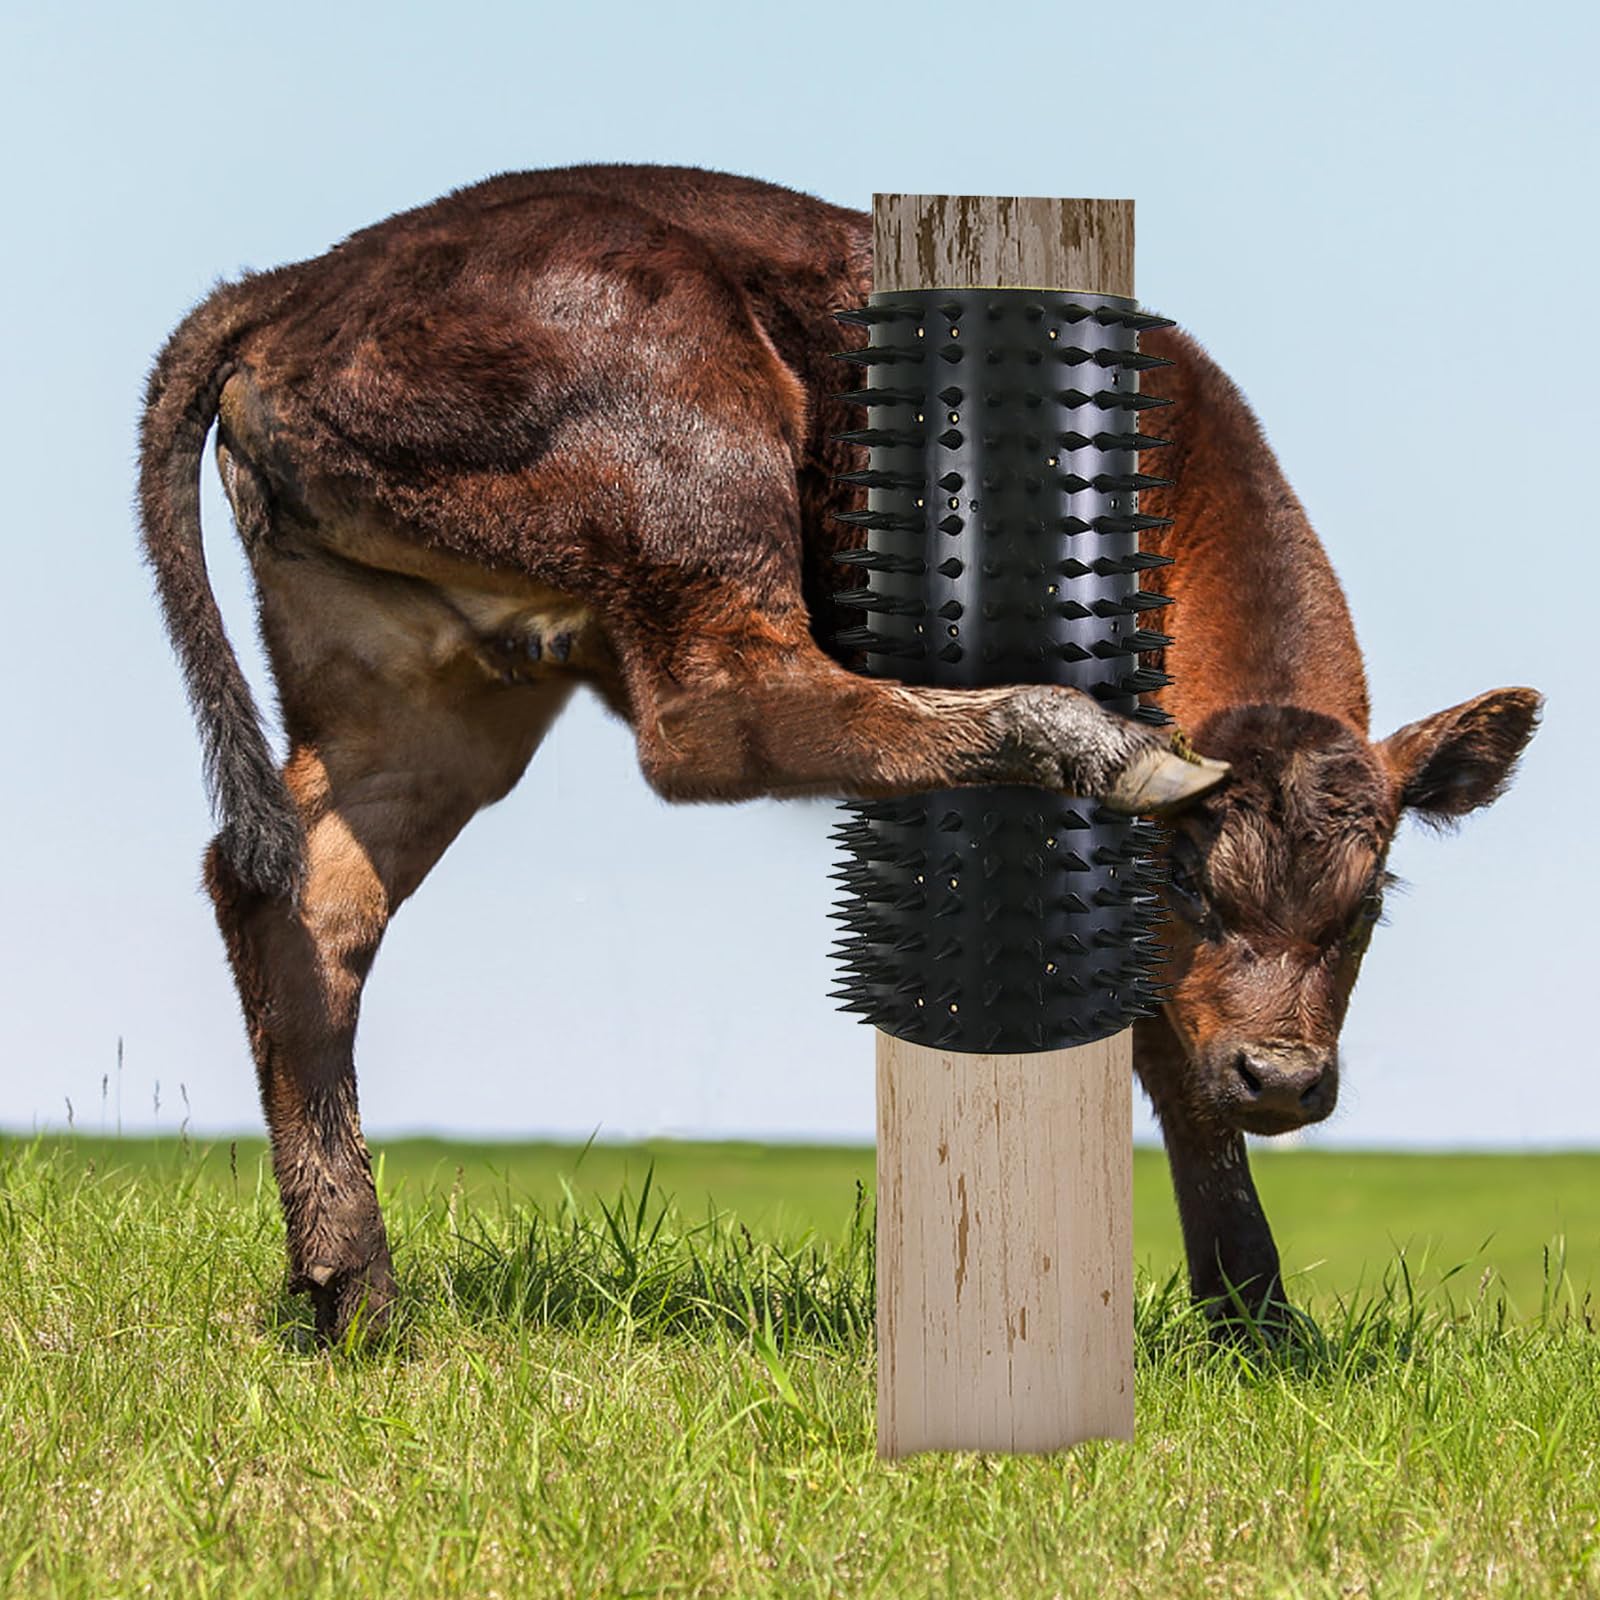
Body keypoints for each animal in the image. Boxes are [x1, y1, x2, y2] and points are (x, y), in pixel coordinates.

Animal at [139, 164, 1539, 1342]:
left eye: (1366, 910)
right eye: (1188, 884)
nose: (1284, 1077)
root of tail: (304, 279)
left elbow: (1168, 1050)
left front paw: (1258, 1322)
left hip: (422, 688)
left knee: (304, 891)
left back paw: (355, 1291)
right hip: (691, 459)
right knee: (713, 713)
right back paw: (1066, 731)